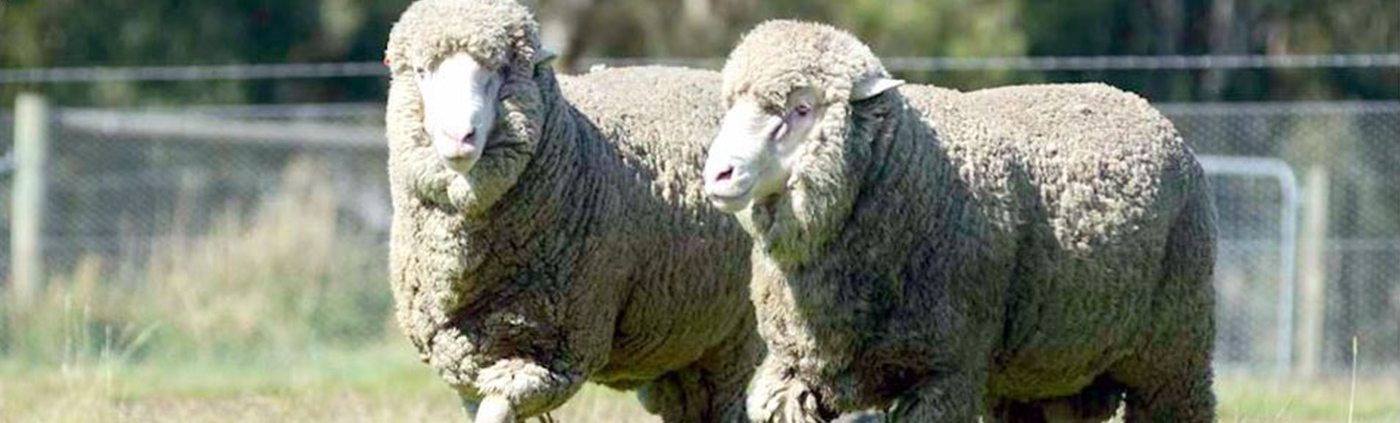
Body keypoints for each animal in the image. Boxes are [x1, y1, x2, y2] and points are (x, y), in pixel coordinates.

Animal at [383, 1, 763, 422]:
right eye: (421, 72)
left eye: (501, 70)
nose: (459, 138)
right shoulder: (465, 360)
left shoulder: (556, 353)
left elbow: (498, 408)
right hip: (680, 352)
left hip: (737, 338)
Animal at [701, 20, 1217, 423]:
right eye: (729, 106)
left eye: (802, 108)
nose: (718, 173)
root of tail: (1133, 99)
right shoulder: (795, 371)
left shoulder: (947, 371)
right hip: (1047, 372)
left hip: (1175, 349)